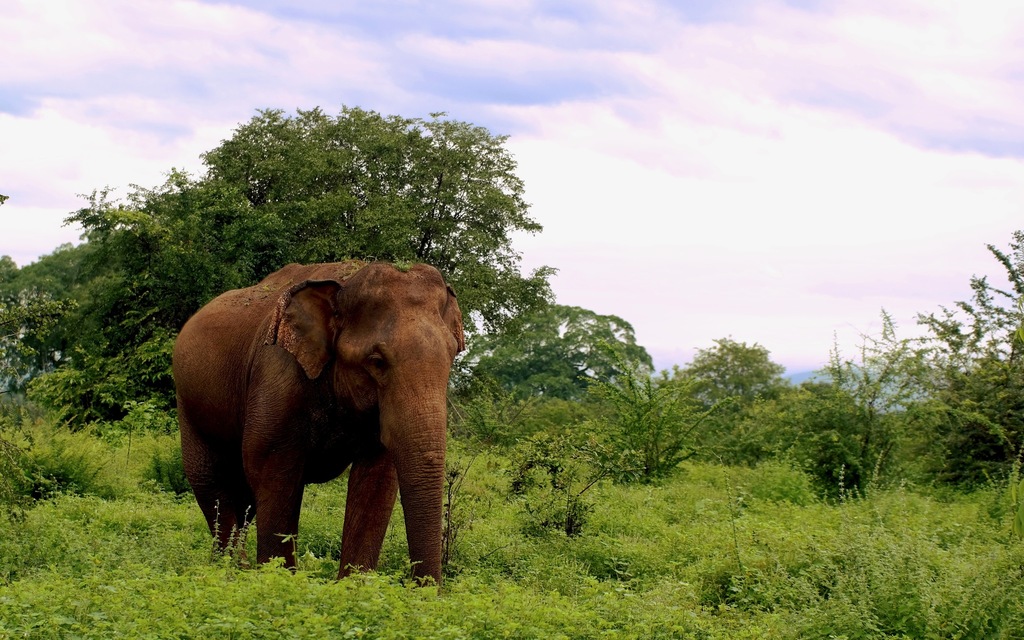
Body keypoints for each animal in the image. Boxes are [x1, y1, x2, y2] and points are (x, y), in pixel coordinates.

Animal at [172, 261, 464, 584]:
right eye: (376, 361)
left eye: (452, 355)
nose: (422, 590)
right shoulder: (277, 376)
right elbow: (273, 471)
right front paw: (279, 581)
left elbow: (376, 480)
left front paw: (353, 586)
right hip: (189, 405)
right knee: (212, 484)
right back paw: (231, 571)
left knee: (243, 498)